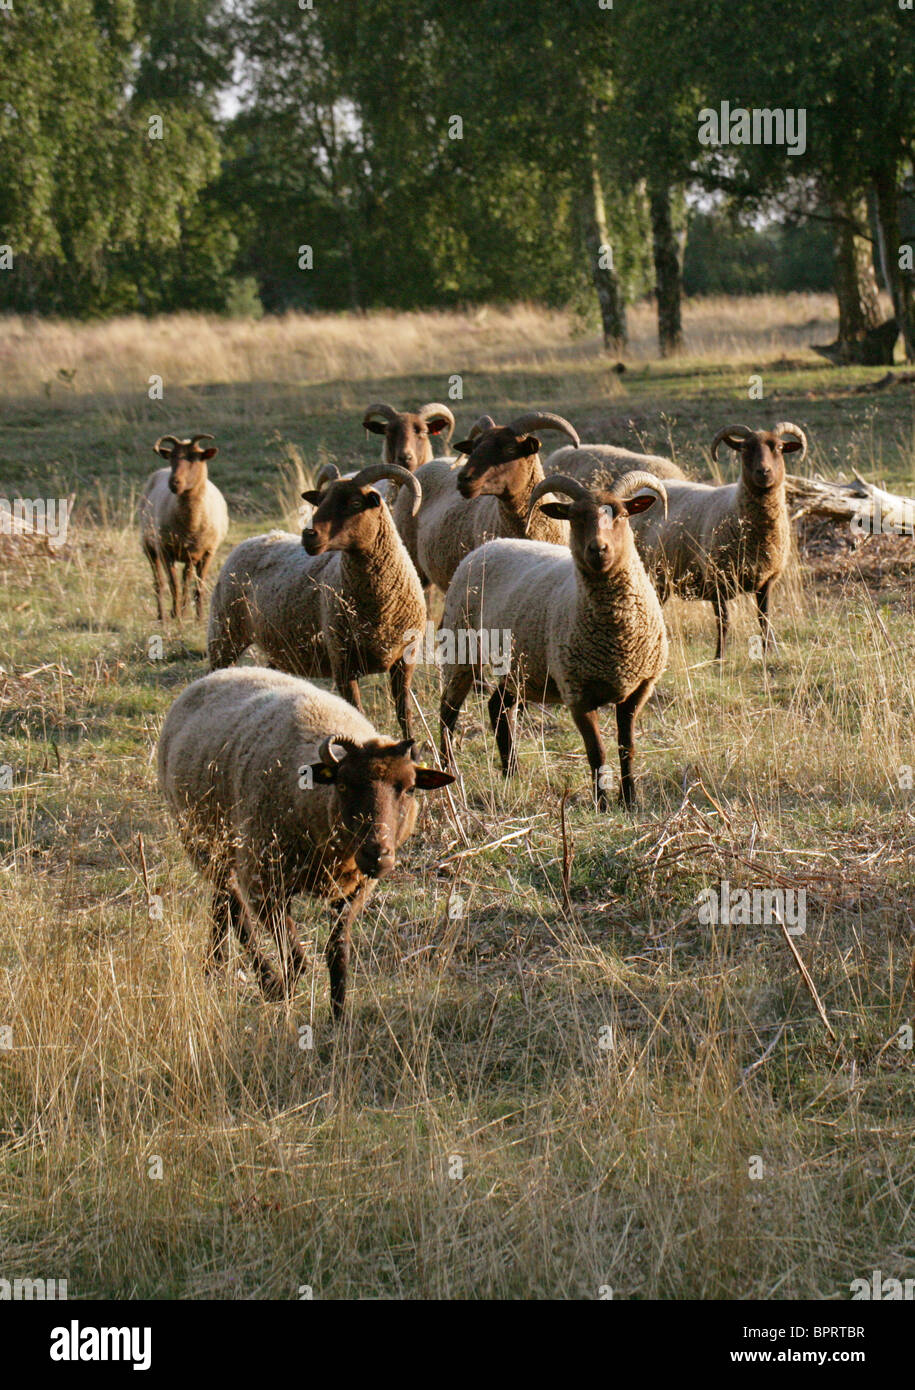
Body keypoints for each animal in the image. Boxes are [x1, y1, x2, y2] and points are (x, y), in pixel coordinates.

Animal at [139, 433, 229, 620]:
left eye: (195, 458)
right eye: (171, 457)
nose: (174, 483)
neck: (191, 523)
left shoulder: (205, 552)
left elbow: (197, 586)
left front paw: (198, 617)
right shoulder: (166, 551)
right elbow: (174, 585)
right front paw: (176, 614)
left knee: (184, 580)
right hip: (148, 546)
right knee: (159, 583)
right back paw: (162, 616)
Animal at [157, 667, 454, 1016]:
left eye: (409, 789)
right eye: (343, 785)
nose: (378, 856)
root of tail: (219, 673)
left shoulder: (354, 890)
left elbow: (336, 953)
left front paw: (339, 1017)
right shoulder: (265, 885)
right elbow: (296, 957)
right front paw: (281, 992)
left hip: (221, 849)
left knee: (221, 904)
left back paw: (214, 967)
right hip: (201, 843)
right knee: (236, 912)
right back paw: (260, 977)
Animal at [207, 463, 426, 739]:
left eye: (355, 502)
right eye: (320, 500)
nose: (309, 535)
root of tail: (255, 539)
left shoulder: (404, 660)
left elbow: (404, 715)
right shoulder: (342, 662)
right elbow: (357, 713)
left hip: (279, 650)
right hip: (224, 633)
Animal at [439, 471, 668, 811]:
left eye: (622, 514)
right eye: (574, 517)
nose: (598, 550)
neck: (617, 638)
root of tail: (486, 546)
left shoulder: (638, 689)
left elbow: (627, 748)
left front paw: (630, 801)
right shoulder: (577, 692)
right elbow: (597, 751)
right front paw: (602, 804)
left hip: (518, 668)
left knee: (498, 707)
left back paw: (511, 772)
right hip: (460, 650)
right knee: (447, 713)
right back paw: (447, 769)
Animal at [627, 422, 808, 659]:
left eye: (778, 447)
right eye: (746, 448)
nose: (763, 472)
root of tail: (644, 489)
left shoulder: (766, 580)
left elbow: (764, 619)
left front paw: (770, 652)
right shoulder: (716, 579)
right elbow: (724, 622)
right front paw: (719, 657)